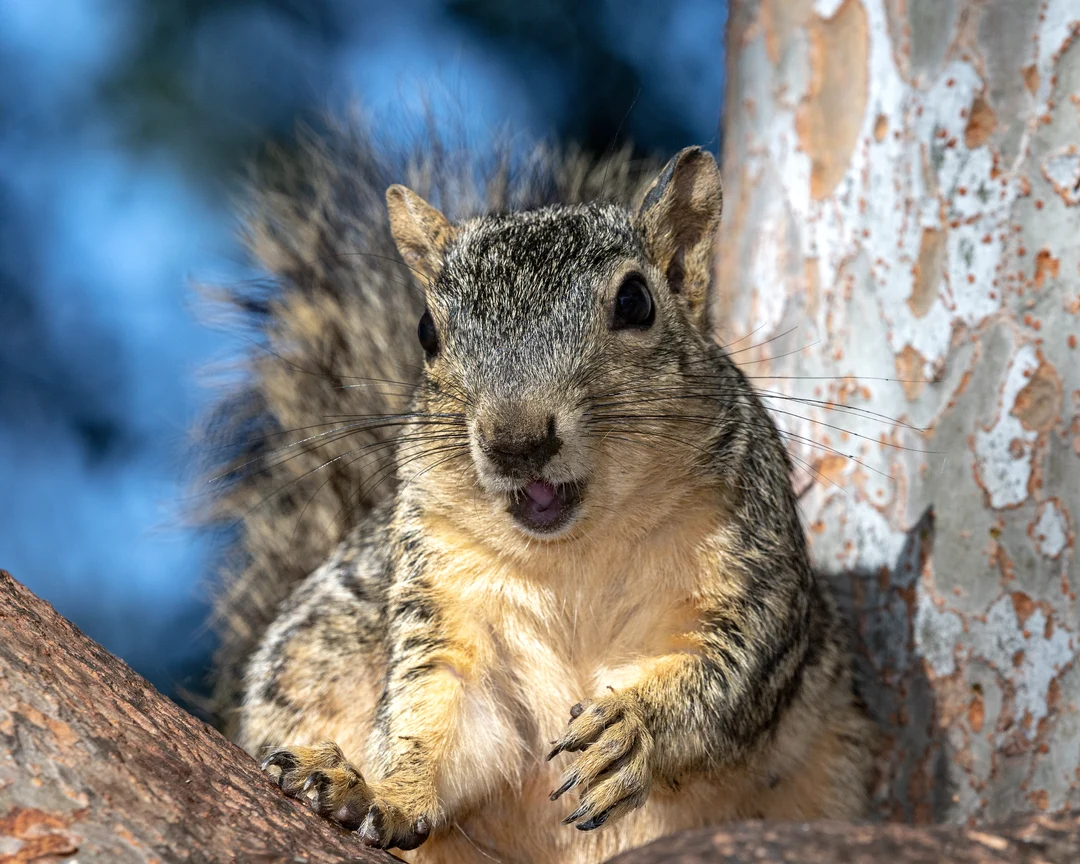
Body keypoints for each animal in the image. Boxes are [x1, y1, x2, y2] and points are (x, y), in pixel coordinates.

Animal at [200, 119, 875, 863]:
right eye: (427, 331)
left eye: (636, 301)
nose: (517, 440)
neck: (578, 552)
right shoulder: (448, 595)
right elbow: (447, 720)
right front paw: (378, 791)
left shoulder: (753, 580)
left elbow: (723, 678)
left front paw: (633, 728)